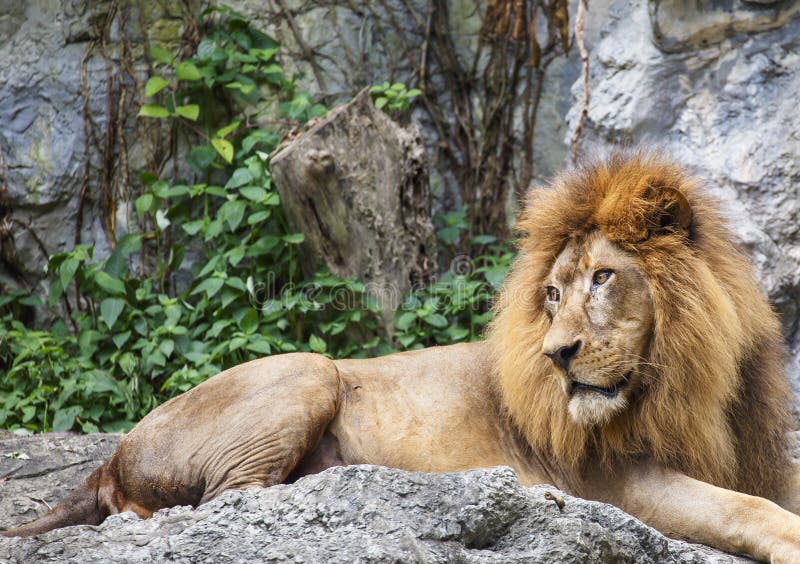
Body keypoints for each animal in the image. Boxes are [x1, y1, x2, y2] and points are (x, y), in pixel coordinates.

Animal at [4, 153, 800, 561]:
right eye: (550, 293)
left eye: (603, 278)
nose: (557, 354)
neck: (684, 378)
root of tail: (107, 460)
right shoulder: (621, 478)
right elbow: (744, 510)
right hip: (306, 368)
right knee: (232, 502)